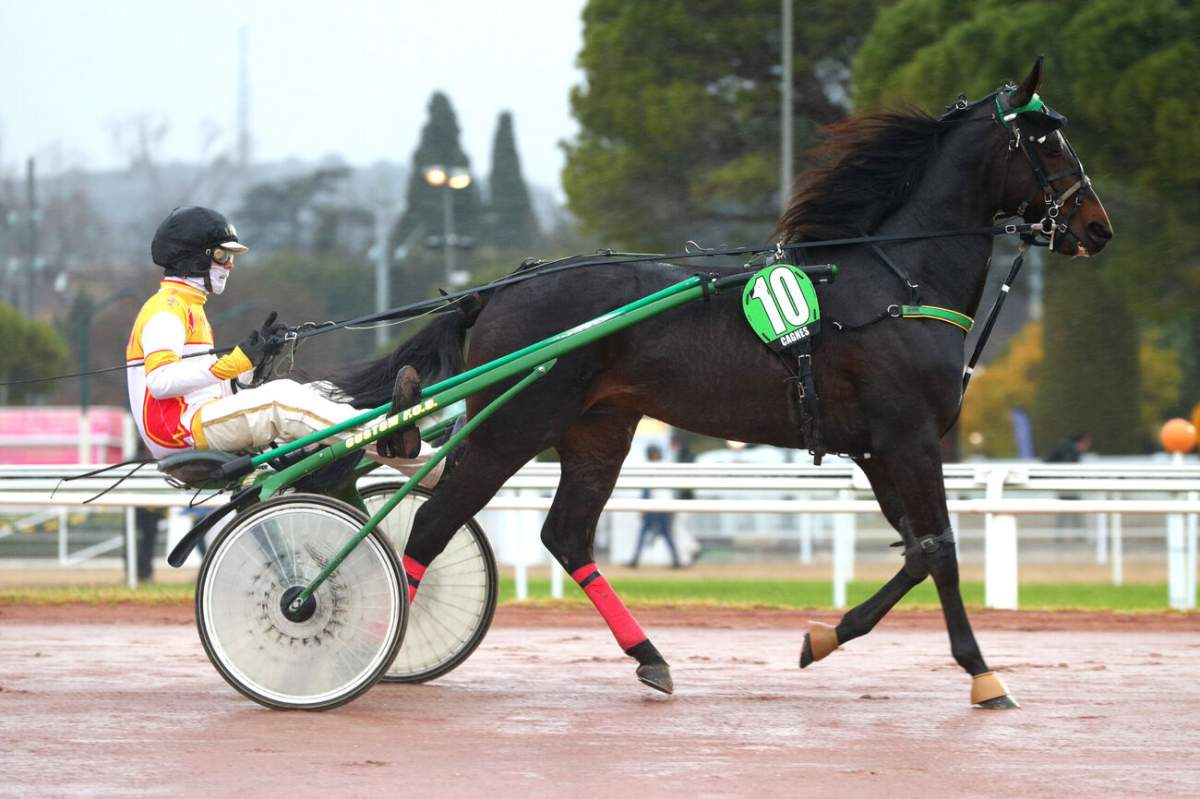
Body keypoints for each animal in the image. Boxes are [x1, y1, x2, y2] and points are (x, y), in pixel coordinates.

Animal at [329, 59, 1112, 707]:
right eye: (1046, 142)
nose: (1098, 226)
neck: (896, 281)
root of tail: (495, 290)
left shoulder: (876, 448)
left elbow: (919, 551)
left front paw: (823, 637)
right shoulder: (909, 438)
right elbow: (942, 549)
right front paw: (982, 673)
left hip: (597, 427)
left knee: (567, 535)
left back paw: (649, 655)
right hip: (513, 424)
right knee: (433, 522)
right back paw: (375, 632)